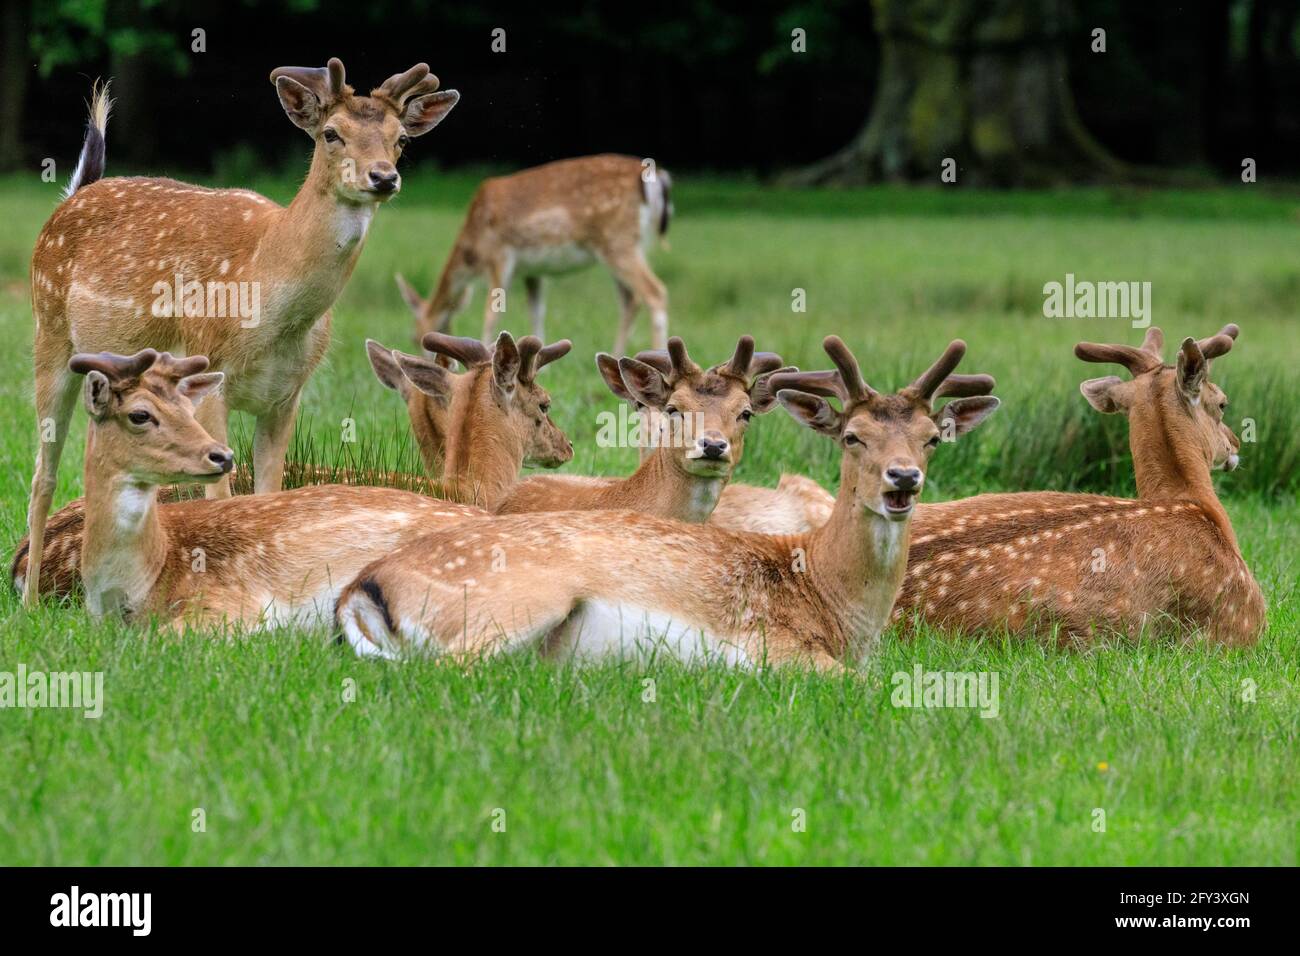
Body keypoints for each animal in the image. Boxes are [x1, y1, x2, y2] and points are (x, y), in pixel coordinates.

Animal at [23, 59, 460, 608]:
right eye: (331, 133)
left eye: (400, 138)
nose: (383, 176)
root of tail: (75, 194)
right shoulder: (211, 370)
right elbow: (220, 494)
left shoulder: (287, 395)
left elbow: (269, 495)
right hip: (49, 336)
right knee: (42, 474)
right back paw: (27, 602)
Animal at [333, 336, 1000, 666]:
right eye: (852, 435)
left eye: (932, 438)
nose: (902, 479)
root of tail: (360, 590)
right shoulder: (774, 646)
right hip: (514, 602)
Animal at [394, 154, 672, 354]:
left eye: (416, 338)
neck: (473, 248)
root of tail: (657, 180)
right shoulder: (532, 271)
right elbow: (536, 311)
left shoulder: (500, 255)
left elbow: (491, 313)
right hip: (625, 245)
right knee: (631, 299)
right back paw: (616, 357)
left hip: (618, 240)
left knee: (655, 292)